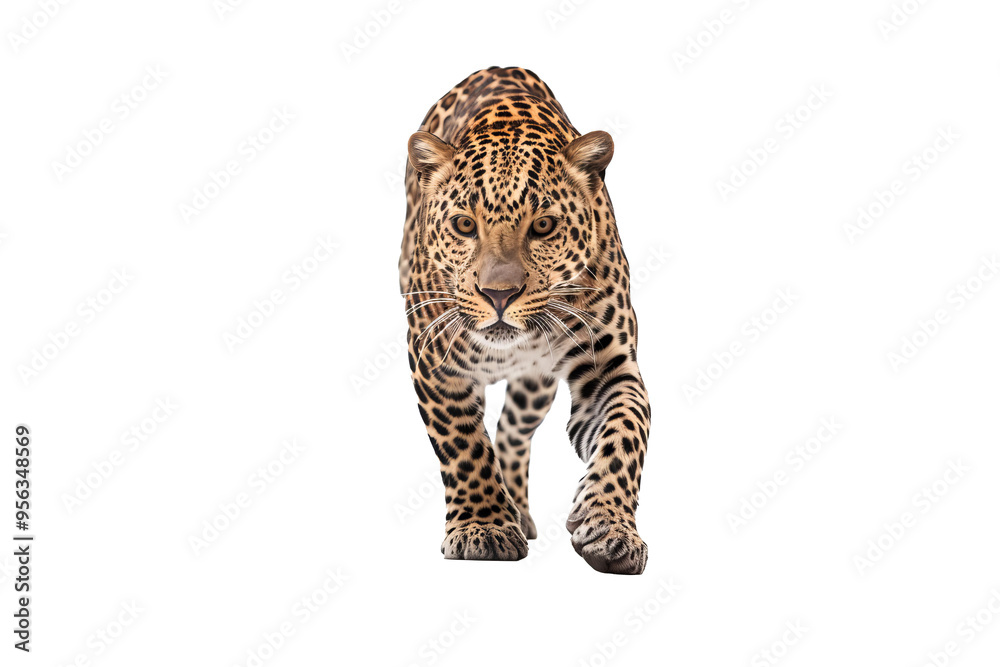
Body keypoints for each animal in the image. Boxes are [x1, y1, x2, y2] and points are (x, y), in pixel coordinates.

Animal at [399, 66, 650, 574]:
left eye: (544, 226)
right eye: (464, 225)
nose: (499, 294)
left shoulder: (610, 367)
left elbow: (625, 433)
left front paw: (609, 528)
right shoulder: (433, 360)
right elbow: (465, 446)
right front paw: (483, 528)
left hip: (535, 389)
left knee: (512, 433)